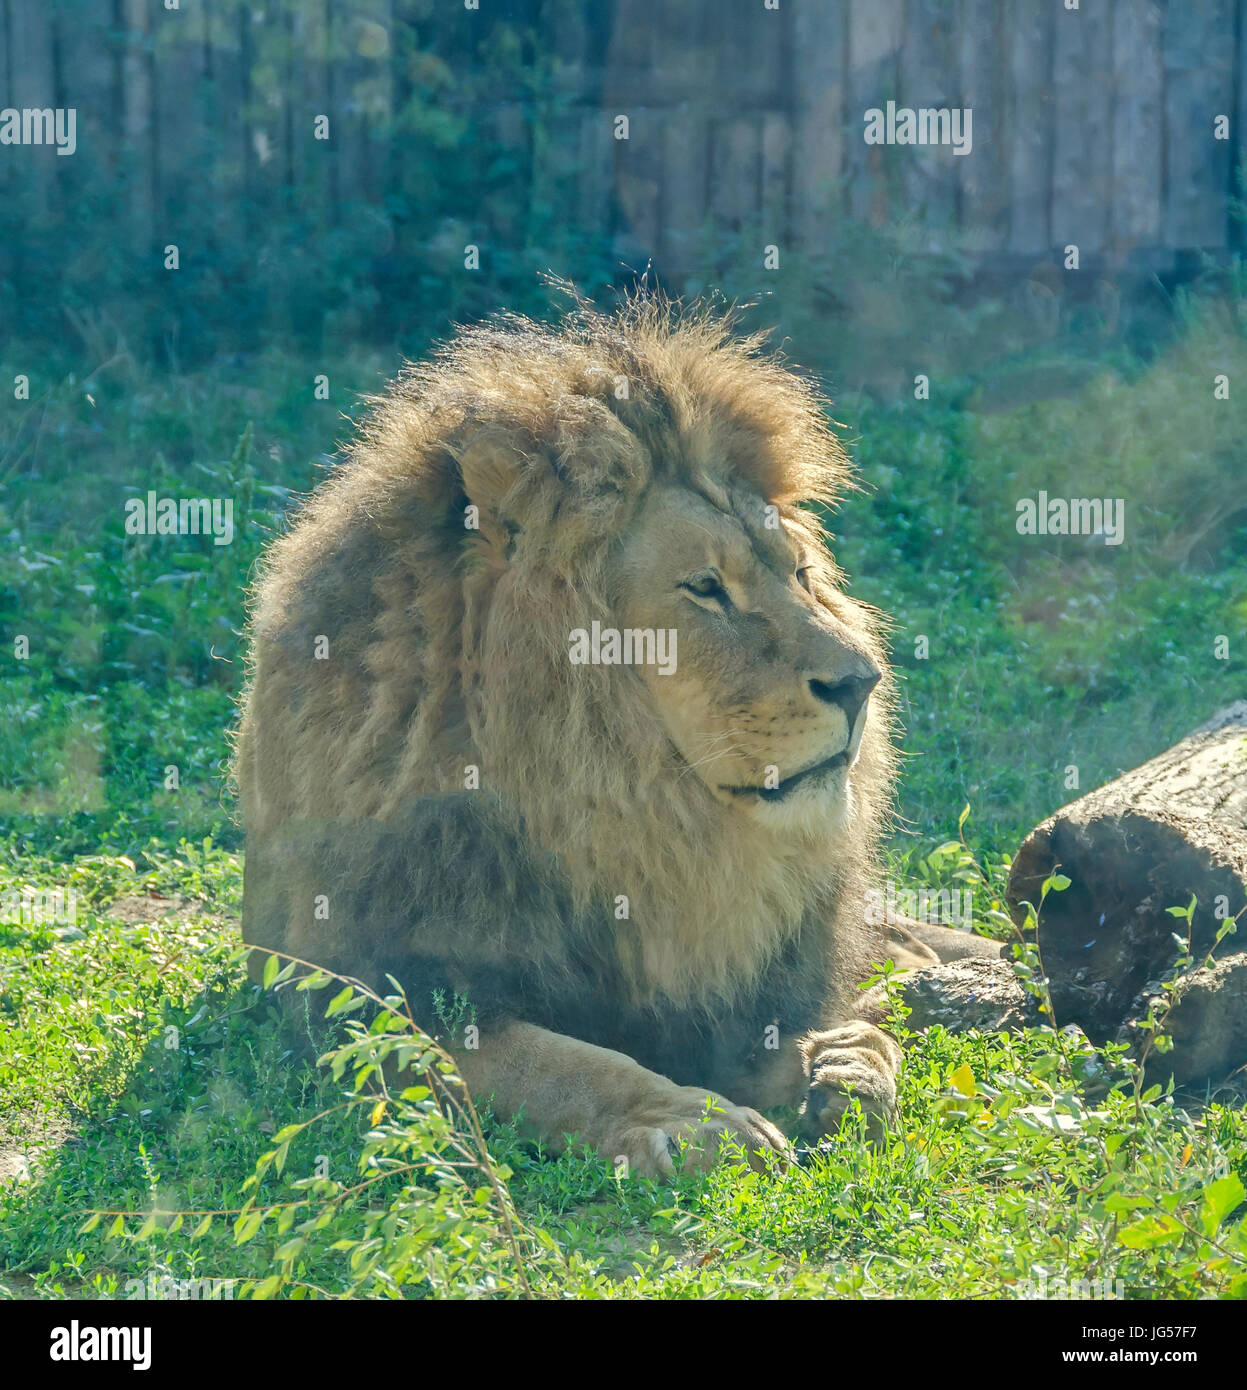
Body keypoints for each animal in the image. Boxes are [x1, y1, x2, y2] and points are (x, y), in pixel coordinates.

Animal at [234, 292, 970, 1177]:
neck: (622, 815)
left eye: (798, 574)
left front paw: (840, 1061)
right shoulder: (360, 998)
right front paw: (688, 1120)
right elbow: (562, 1065)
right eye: (704, 588)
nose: (862, 681)